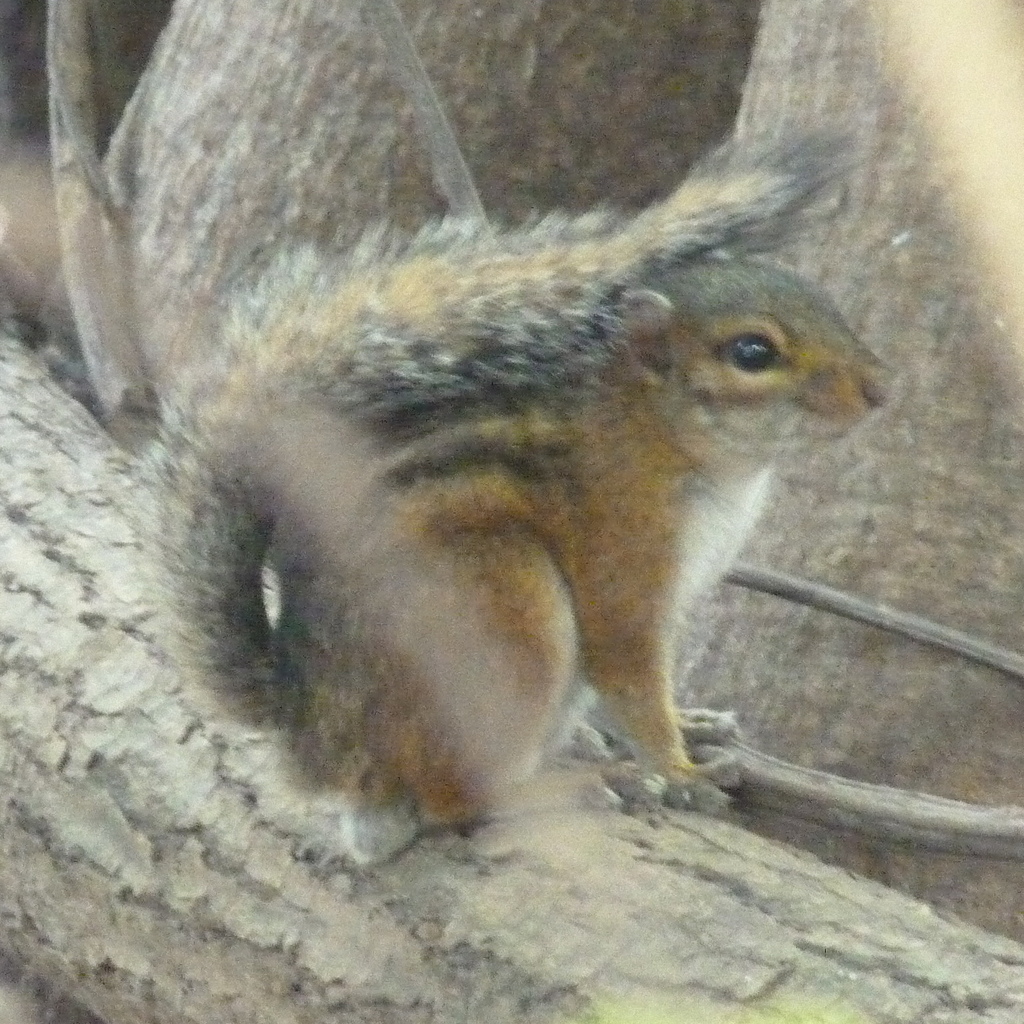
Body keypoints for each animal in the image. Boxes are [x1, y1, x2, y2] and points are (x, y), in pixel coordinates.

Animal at [145, 136, 885, 864]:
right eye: (753, 351)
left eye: (827, 302)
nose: (878, 388)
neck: (675, 439)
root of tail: (314, 737)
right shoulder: (621, 533)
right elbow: (626, 665)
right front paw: (679, 771)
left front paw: (692, 723)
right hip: (501, 614)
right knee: (451, 801)